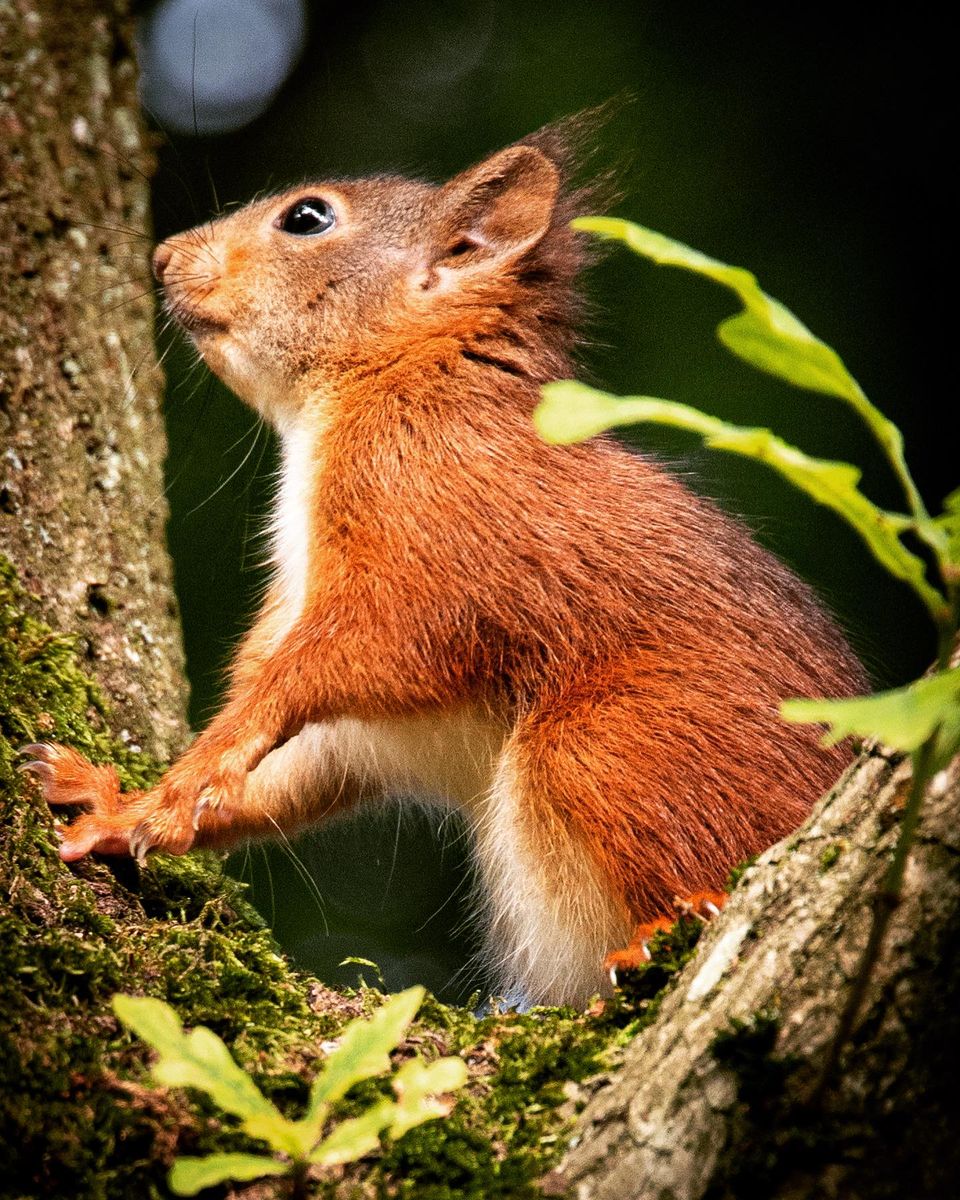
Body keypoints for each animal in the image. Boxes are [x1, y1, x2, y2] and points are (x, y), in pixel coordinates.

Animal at [21, 119, 867, 1007]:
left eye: (307, 218)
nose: (162, 257)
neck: (385, 386)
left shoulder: (431, 542)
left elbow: (315, 680)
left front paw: (152, 805)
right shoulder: (345, 700)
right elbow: (292, 769)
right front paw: (111, 795)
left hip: (611, 744)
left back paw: (667, 929)